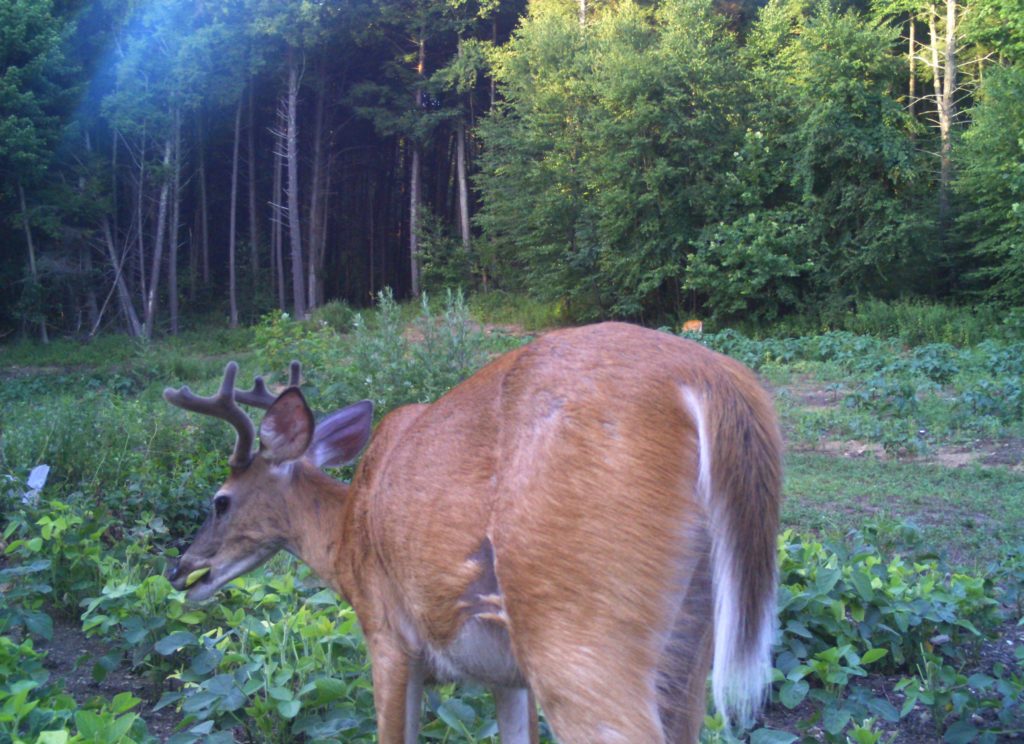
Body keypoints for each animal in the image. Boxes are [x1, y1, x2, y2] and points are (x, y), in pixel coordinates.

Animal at [163, 321, 782, 744]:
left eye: (220, 501)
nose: (180, 569)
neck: (345, 536)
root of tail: (712, 382)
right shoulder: (507, 676)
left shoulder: (388, 635)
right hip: (691, 641)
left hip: (577, 625)